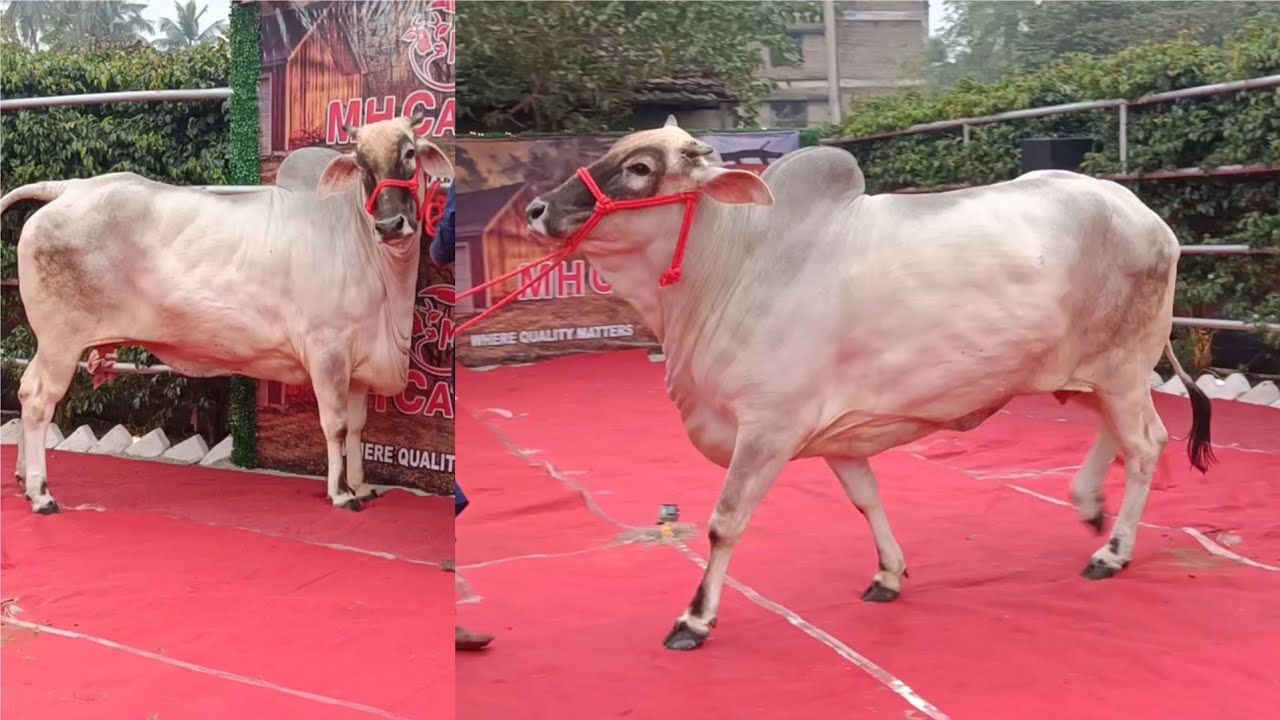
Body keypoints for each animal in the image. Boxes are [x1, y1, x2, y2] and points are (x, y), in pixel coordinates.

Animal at [1, 112, 452, 515]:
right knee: (38, 398)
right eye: (360, 163)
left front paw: (360, 485)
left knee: (25, 390)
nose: (390, 224)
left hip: (50, 342)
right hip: (61, 340)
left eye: (409, 152)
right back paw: (41, 494)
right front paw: (341, 494)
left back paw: (23, 479)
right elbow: (336, 424)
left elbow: (358, 426)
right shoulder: (328, 351)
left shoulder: (358, 363)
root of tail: (70, 188)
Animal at [523, 117, 1214, 651]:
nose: (536, 209)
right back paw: (1089, 504)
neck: (734, 263)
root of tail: (1145, 215)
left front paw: (694, 619)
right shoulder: (838, 435)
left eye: (639, 167)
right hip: (1089, 371)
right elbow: (867, 500)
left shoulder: (768, 429)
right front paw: (889, 575)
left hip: (1124, 365)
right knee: (1117, 435)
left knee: (1146, 445)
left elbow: (725, 523)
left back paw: (1113, 551)